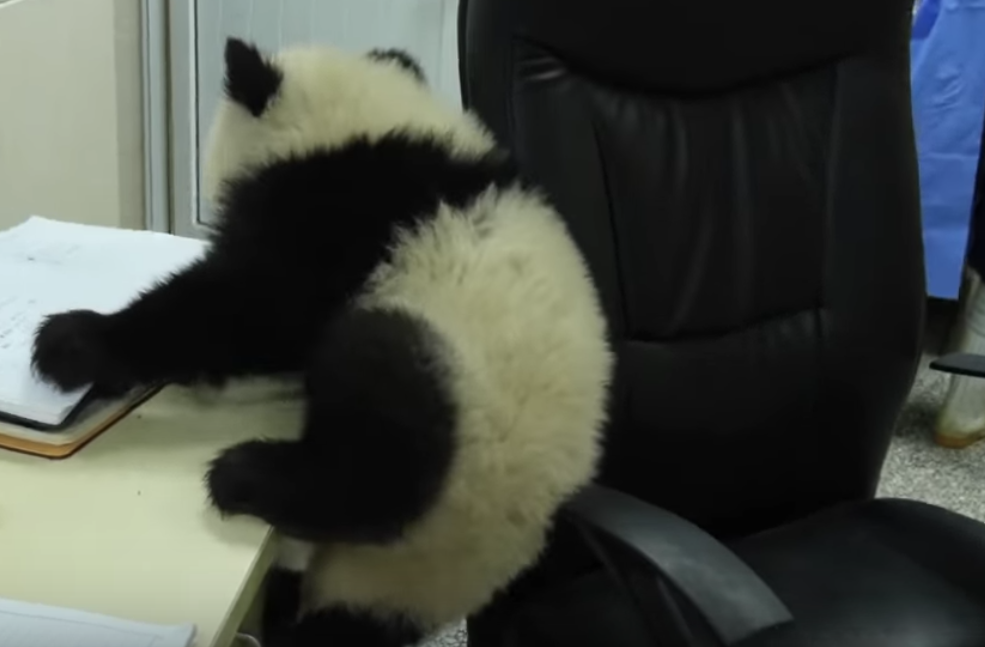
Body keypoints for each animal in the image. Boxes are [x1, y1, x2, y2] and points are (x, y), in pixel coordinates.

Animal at [31, 38, 613, 647]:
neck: (354, 121)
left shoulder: (334, 215)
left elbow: (251, 307)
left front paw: (71, 343)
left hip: (460, 389)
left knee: (381, 437)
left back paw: (244, 474)